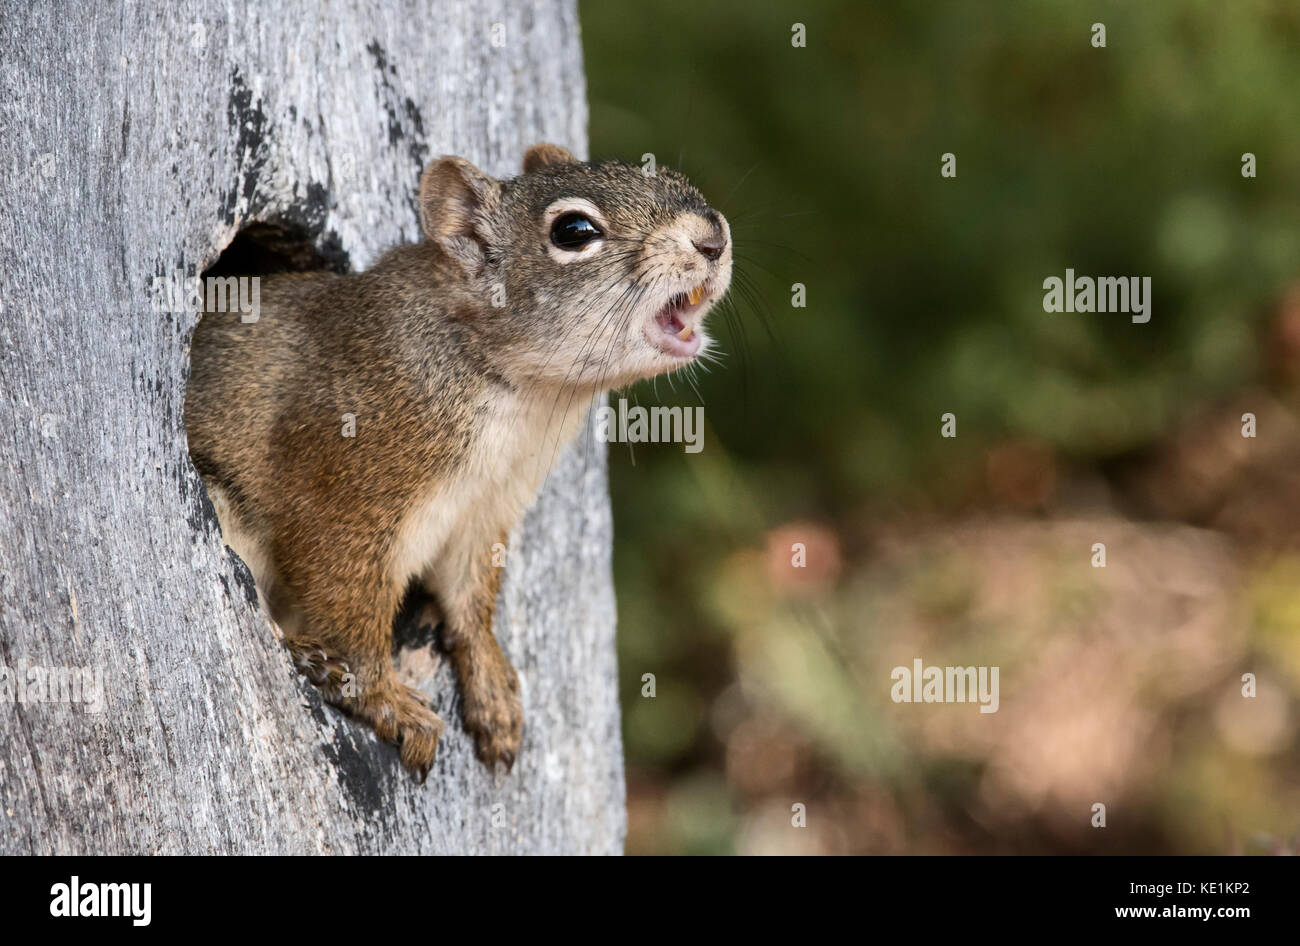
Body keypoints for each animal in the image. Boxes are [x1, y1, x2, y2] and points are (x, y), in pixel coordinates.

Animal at [185, 143, 732, 780]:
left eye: (672, 176)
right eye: (574, 231)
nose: (713, 238)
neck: (522, 394)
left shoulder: (487, 507)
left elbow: (470, 595)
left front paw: (492, 683)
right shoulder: (343, 491)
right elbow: (347, 601)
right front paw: (385, 699)